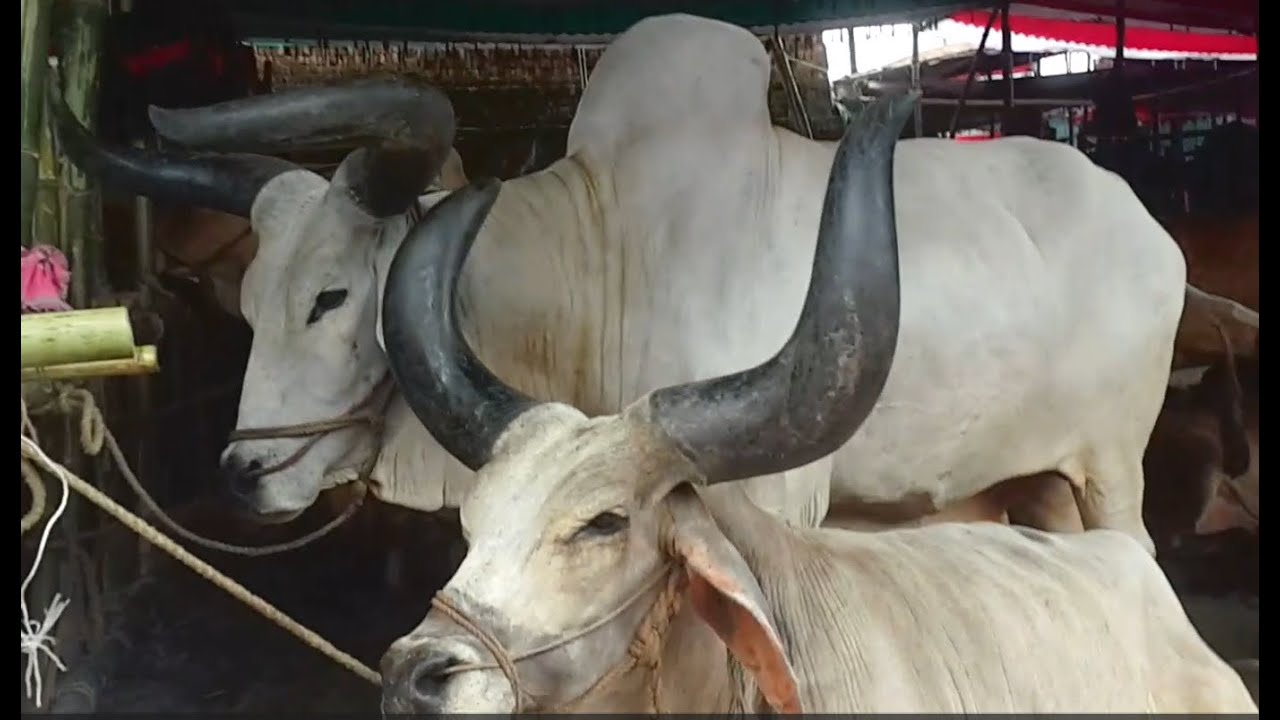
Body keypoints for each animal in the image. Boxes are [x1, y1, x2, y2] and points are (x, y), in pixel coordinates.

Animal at [52, 13, 1190, 554]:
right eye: (245, 304)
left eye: (330, 296)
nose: (245, 473)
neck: (607, 250)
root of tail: (1146, 228)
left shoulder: (771, 497)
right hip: (1026, 482)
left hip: (1109, 474)